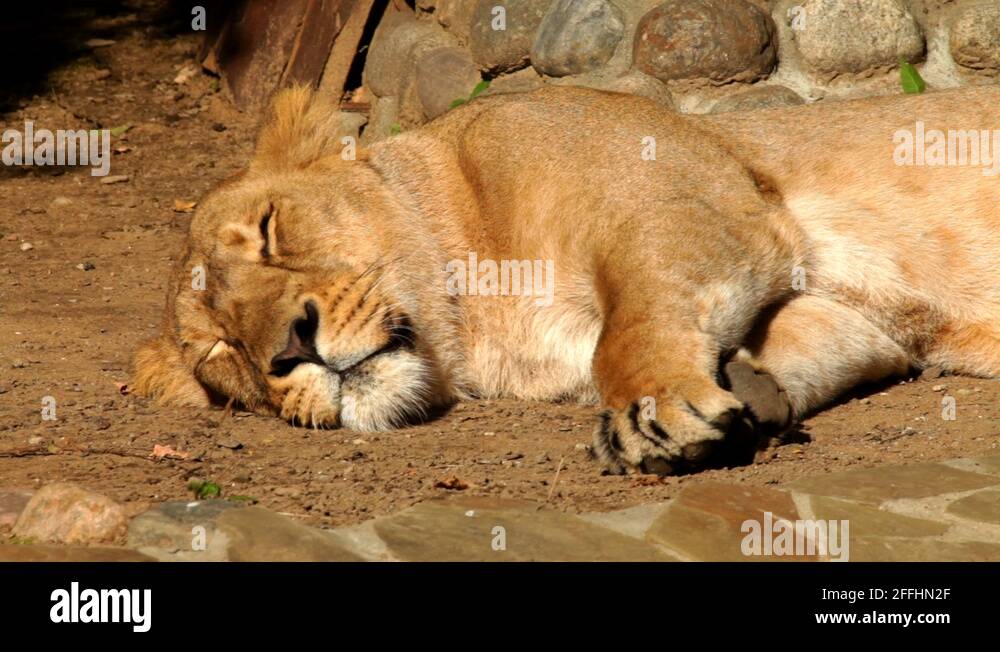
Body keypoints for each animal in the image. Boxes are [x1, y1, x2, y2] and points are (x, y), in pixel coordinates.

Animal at [133, 83, 1000, 475]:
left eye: (271, 229)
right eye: (220, 351)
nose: (289, 349)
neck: (480, 314)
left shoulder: (688, 194)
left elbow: (634, 326)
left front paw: (653, 413)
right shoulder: (854, 319)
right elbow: (818, 340)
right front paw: (748, 397)